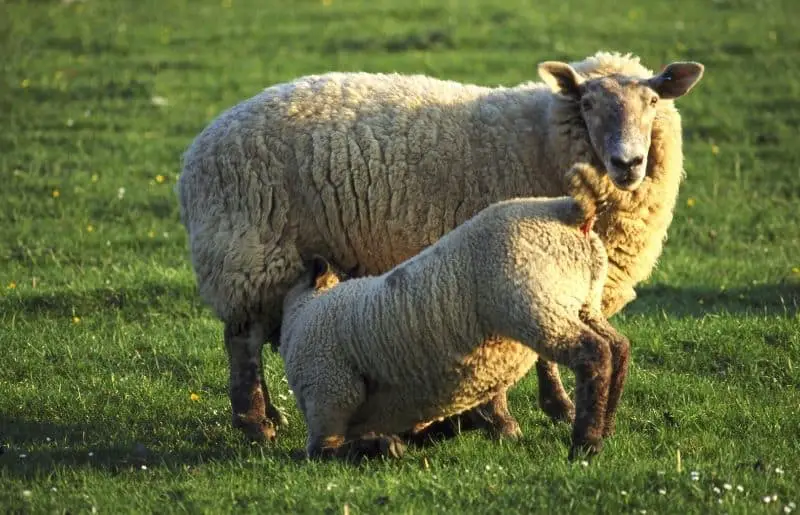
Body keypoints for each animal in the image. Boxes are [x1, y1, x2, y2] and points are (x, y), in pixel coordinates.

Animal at [278, 175, 631, 461]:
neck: (303, 313)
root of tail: (570, 212)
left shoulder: (329, 393)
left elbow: (322, 450)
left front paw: (381, 446)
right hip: (580, 301)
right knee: (618, 347)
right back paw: (607, 426)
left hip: (532, 303)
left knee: (593, 354)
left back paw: (585, 444)